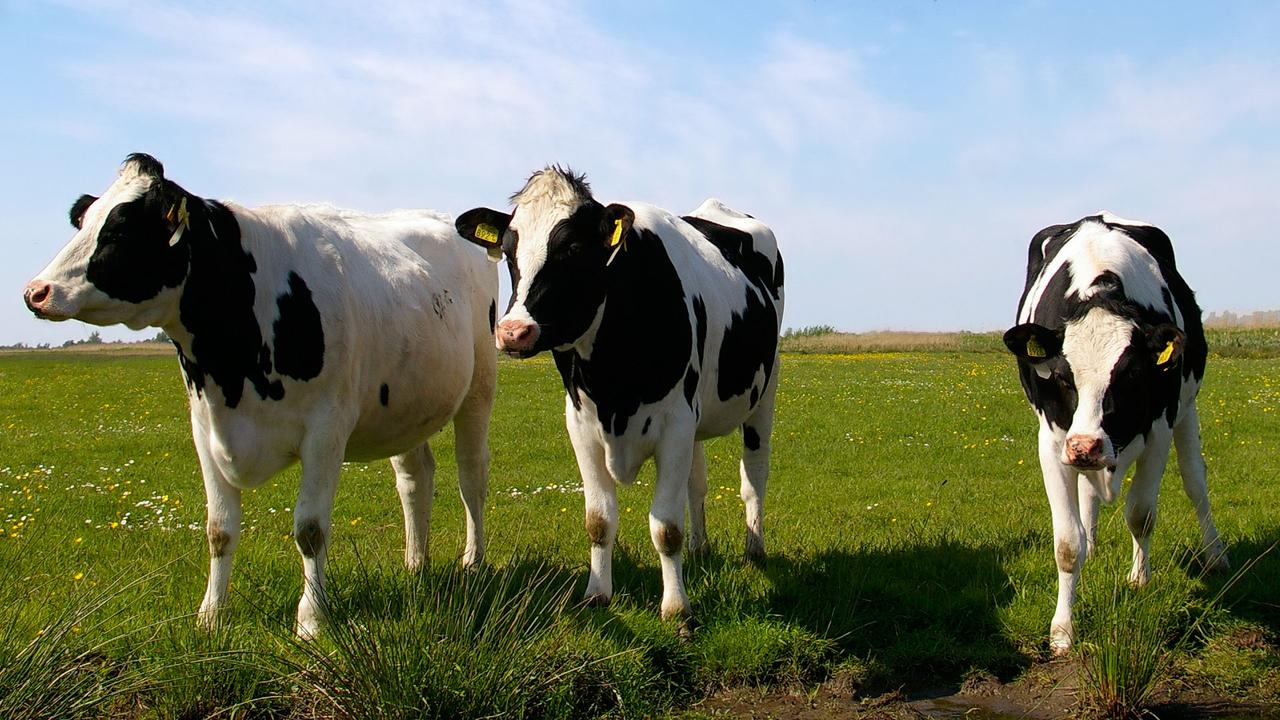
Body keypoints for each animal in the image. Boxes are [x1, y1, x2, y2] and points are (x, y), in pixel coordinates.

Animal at [23, 154, 498, 638]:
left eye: (121, 228)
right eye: (84, 220)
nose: (36, 292)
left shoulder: (326, 431)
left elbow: (310, 529)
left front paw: (311, 619)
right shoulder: (204, 428)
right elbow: (219, 530)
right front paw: (211, 616)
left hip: (479, 385)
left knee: (471, 474)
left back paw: (473, 561)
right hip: (404, 405)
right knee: (415, 476)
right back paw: (415, 565)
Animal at [454, 167, 783, 624]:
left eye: (573, 247)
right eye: (508, 251)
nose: (513, 332)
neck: (613, 387)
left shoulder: (675, 424)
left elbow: (665, 526)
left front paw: (676, 609)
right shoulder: (582, 425)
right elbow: (599, 519)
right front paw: (597, 595)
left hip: (764, 392)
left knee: (754, 475)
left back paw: (755, 549)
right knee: (696, 484)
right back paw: (700, 548)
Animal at [1003, 211, 1229, 654]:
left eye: (1130, 376)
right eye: (1063, 377)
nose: (1086, 446)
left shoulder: (1159, 431)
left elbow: (1141, 515)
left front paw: (1140, 580)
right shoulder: (1052, 442)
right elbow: (1067, 543)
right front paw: (1062, 629)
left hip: (1188, 409)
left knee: (1196, 481)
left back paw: (1214, 554)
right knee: (1088, 496)